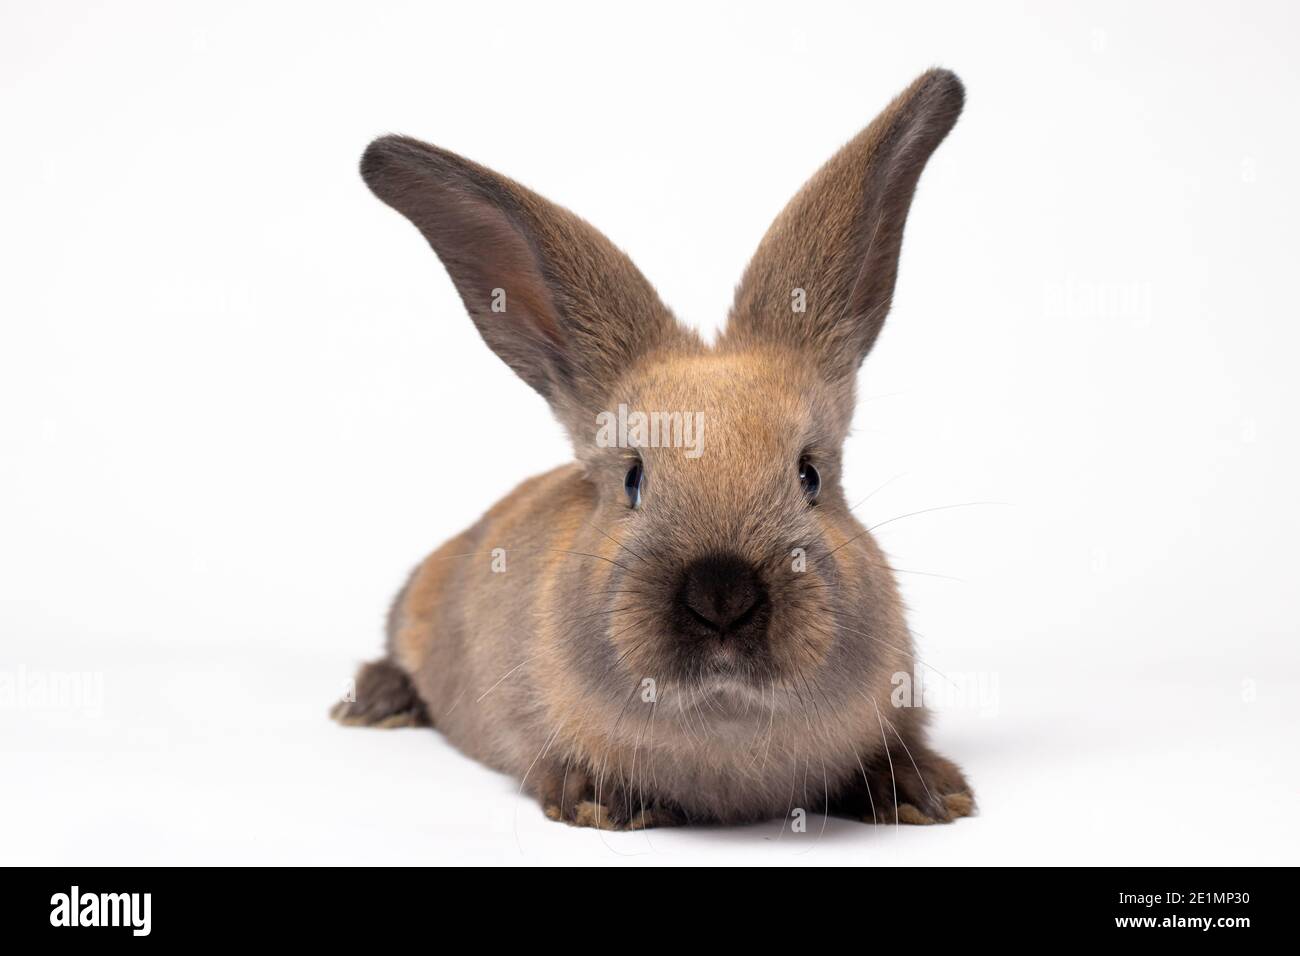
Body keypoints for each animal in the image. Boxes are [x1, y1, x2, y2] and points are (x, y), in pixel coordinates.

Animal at [332, 68, 975, 829]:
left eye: (811, 476)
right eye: (633, 480)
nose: (722, 593)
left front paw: (928, 793)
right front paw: (597, 801)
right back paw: (375, 703)